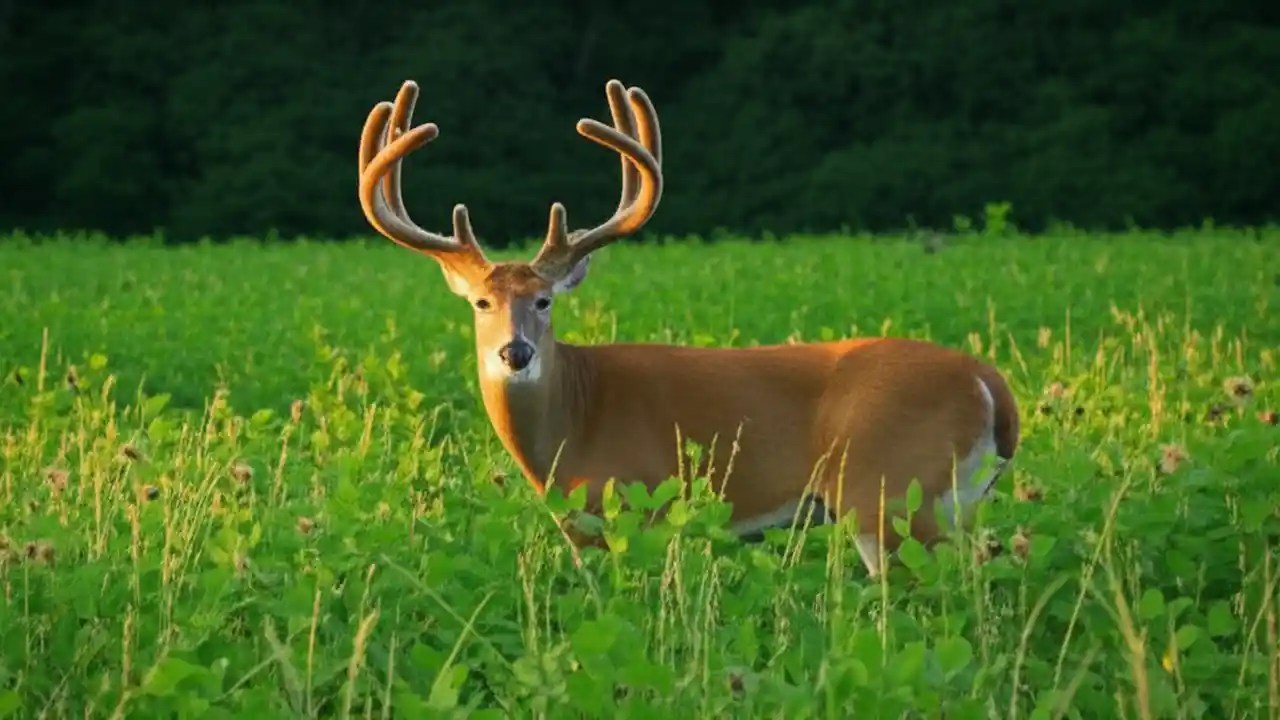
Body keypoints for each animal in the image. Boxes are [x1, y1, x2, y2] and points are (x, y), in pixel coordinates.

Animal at [355, 78, 1021, 577]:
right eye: (481, 303)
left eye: (544, 301)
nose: (514, 353)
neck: (573, 419)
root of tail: (991, 385)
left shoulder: (639, 505)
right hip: (951, 501)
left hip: (889, 490)